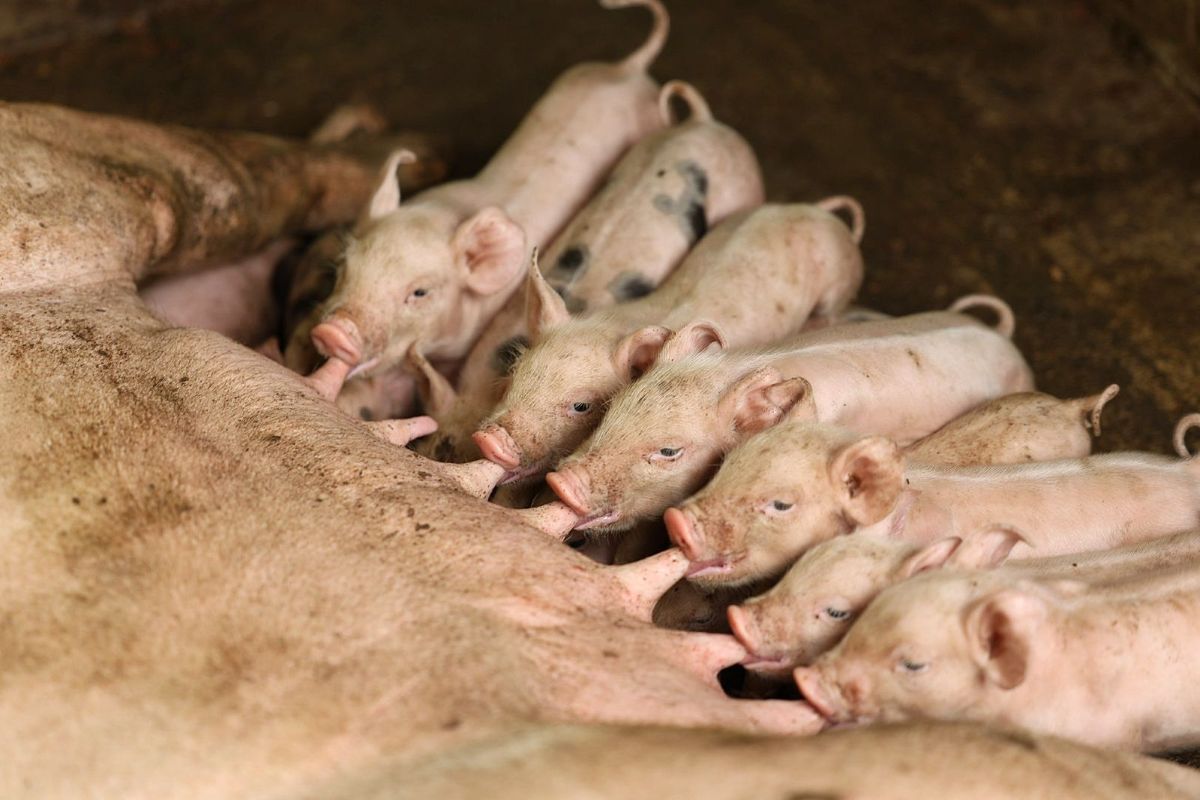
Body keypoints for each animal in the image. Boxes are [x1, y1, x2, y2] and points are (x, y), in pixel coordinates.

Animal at [475, 199, 867, 480]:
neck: (617, 322)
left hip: (840, 282)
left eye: (581, 405)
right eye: (515, 372)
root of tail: (816, 210)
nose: (489, 440)